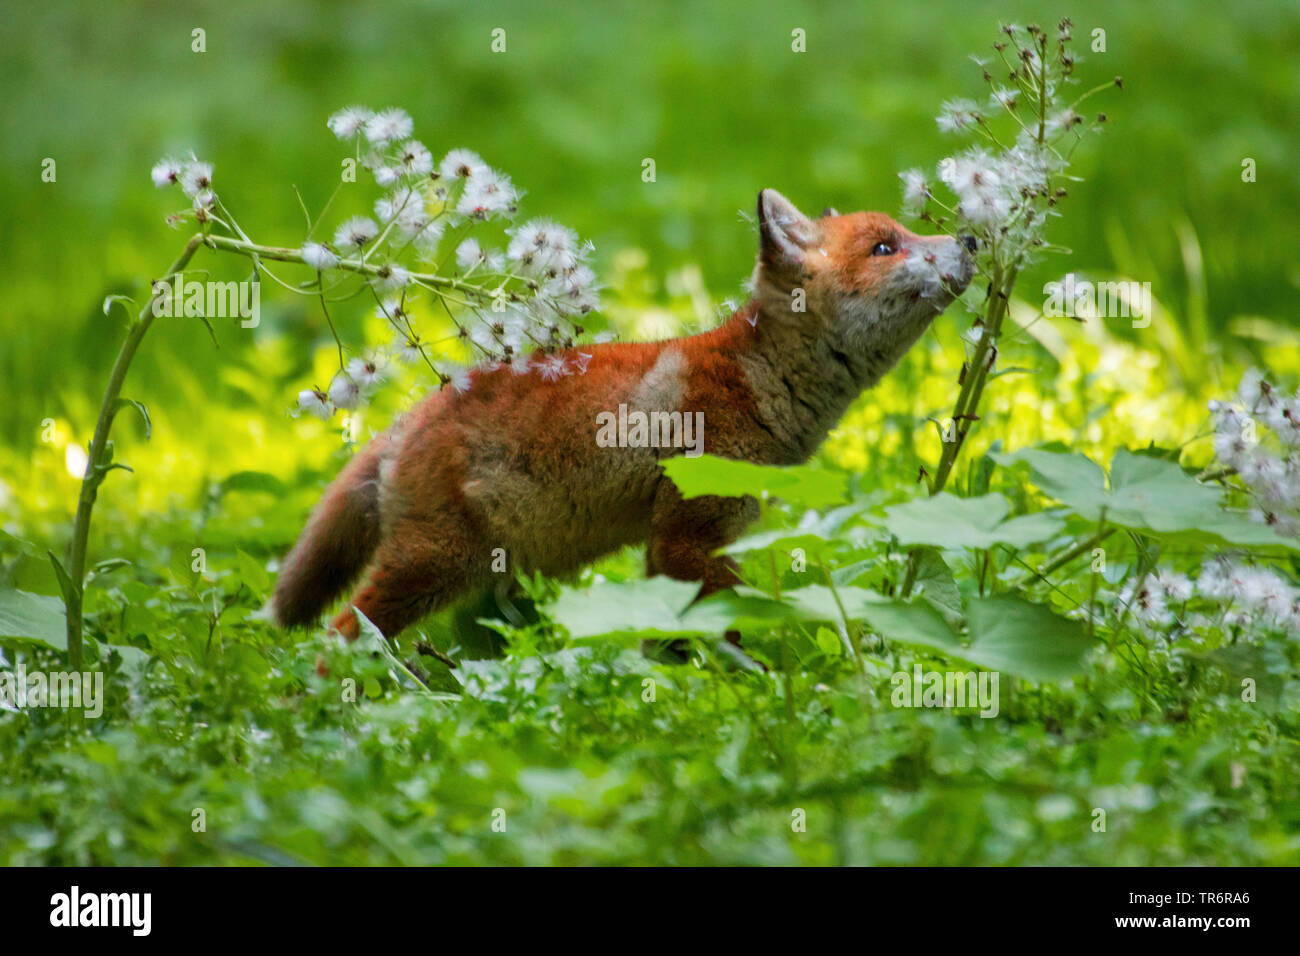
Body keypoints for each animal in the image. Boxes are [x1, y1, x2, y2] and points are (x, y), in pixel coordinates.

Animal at [272, 189, 976, 642]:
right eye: (885, 246)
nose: (970, 239)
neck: (754, 383)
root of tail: (408, 418)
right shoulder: (684, 539)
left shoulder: (682, 550)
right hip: (434, 565)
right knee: (340, 634)